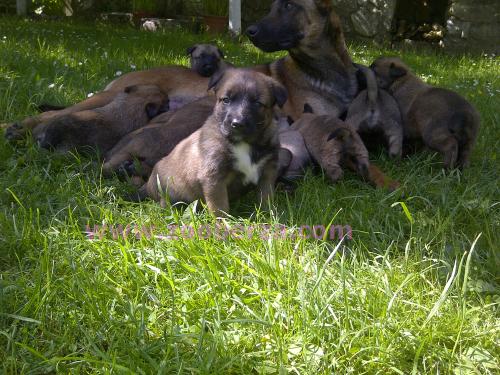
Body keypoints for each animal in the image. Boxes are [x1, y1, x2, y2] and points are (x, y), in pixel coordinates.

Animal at [135, 68, 288, 216]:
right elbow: (220, 207)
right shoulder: (214, 178)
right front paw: (224, 222)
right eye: (226, 100)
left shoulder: (268, 172)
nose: (237, 123)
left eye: (257, 103)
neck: (244, 143)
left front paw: (268, 215)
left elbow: (266, 198)